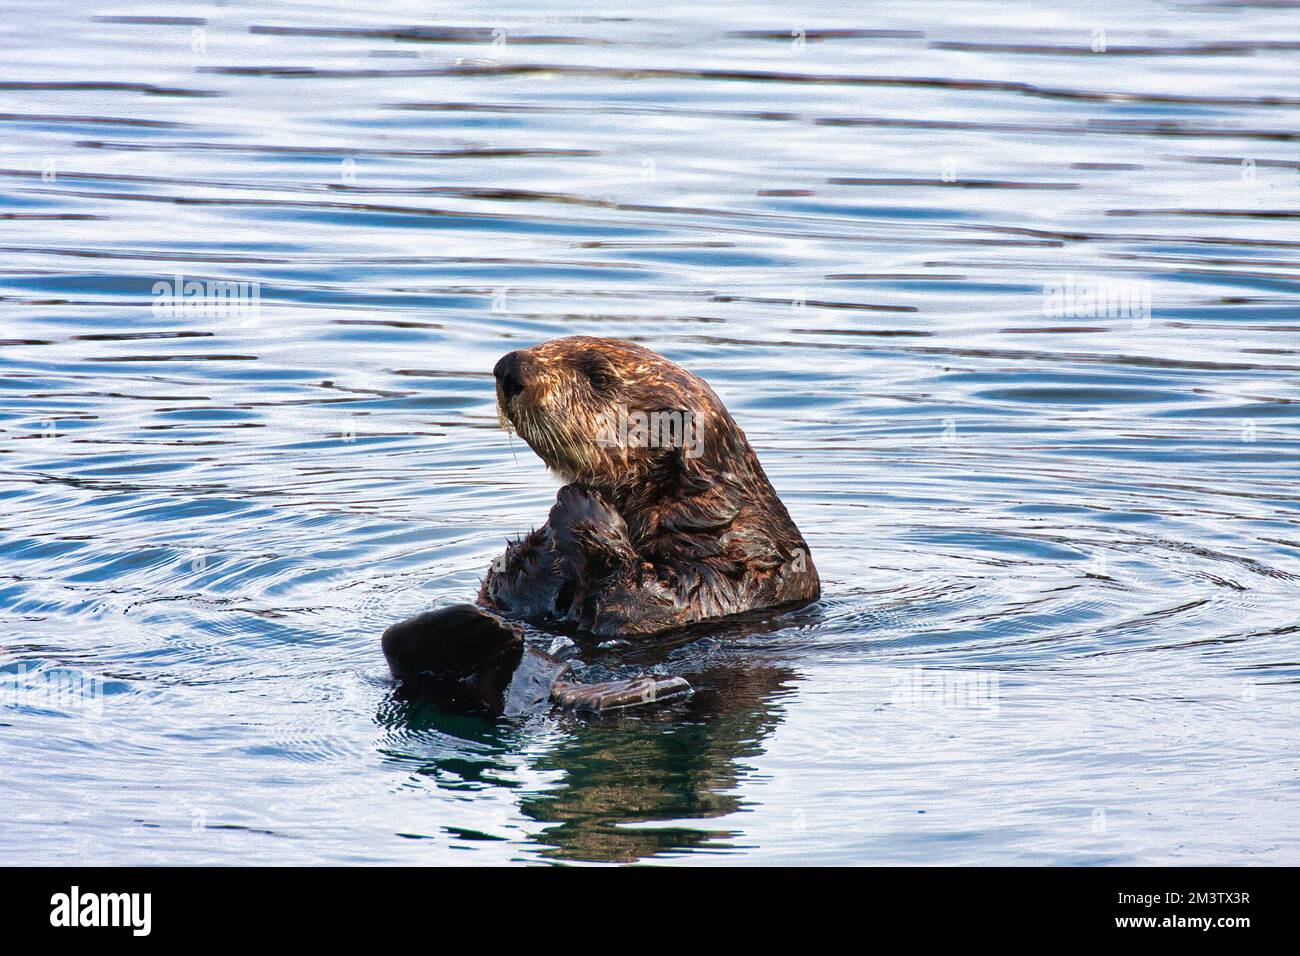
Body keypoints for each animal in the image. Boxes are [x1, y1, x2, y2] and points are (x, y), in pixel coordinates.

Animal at [383, 336, 819, 713]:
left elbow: (651, 606)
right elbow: (506, 586)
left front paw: (579, 505)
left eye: (599, 377)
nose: (509, 366)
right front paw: (551, 530)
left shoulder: (734, 559)